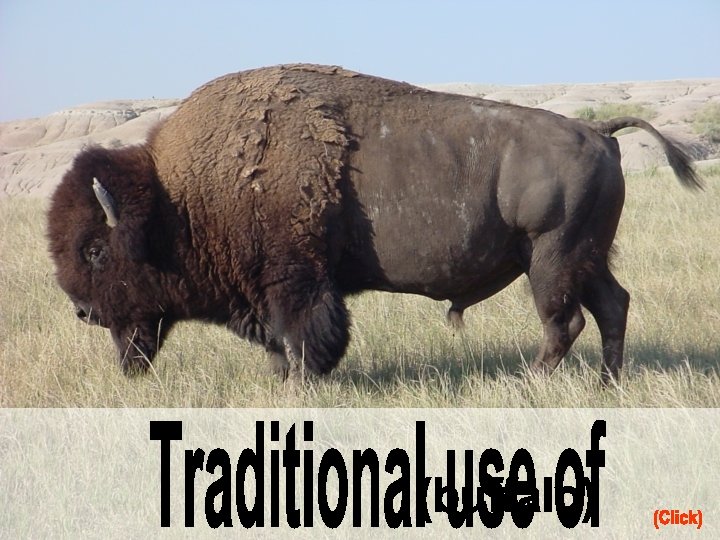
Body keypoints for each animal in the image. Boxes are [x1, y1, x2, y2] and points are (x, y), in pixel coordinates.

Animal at [47, 64, 701, 384]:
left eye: (96, 251)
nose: (82, 312)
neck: (177, 197)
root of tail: (599, 131)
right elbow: (280, 343)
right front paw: (280, 382)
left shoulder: (296, 282)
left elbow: (302, 336)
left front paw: (300, 384)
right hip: (585, 256)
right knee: (611, 306)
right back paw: (607, 385)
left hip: (551, 258)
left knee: (564, 322)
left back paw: (532, 384)